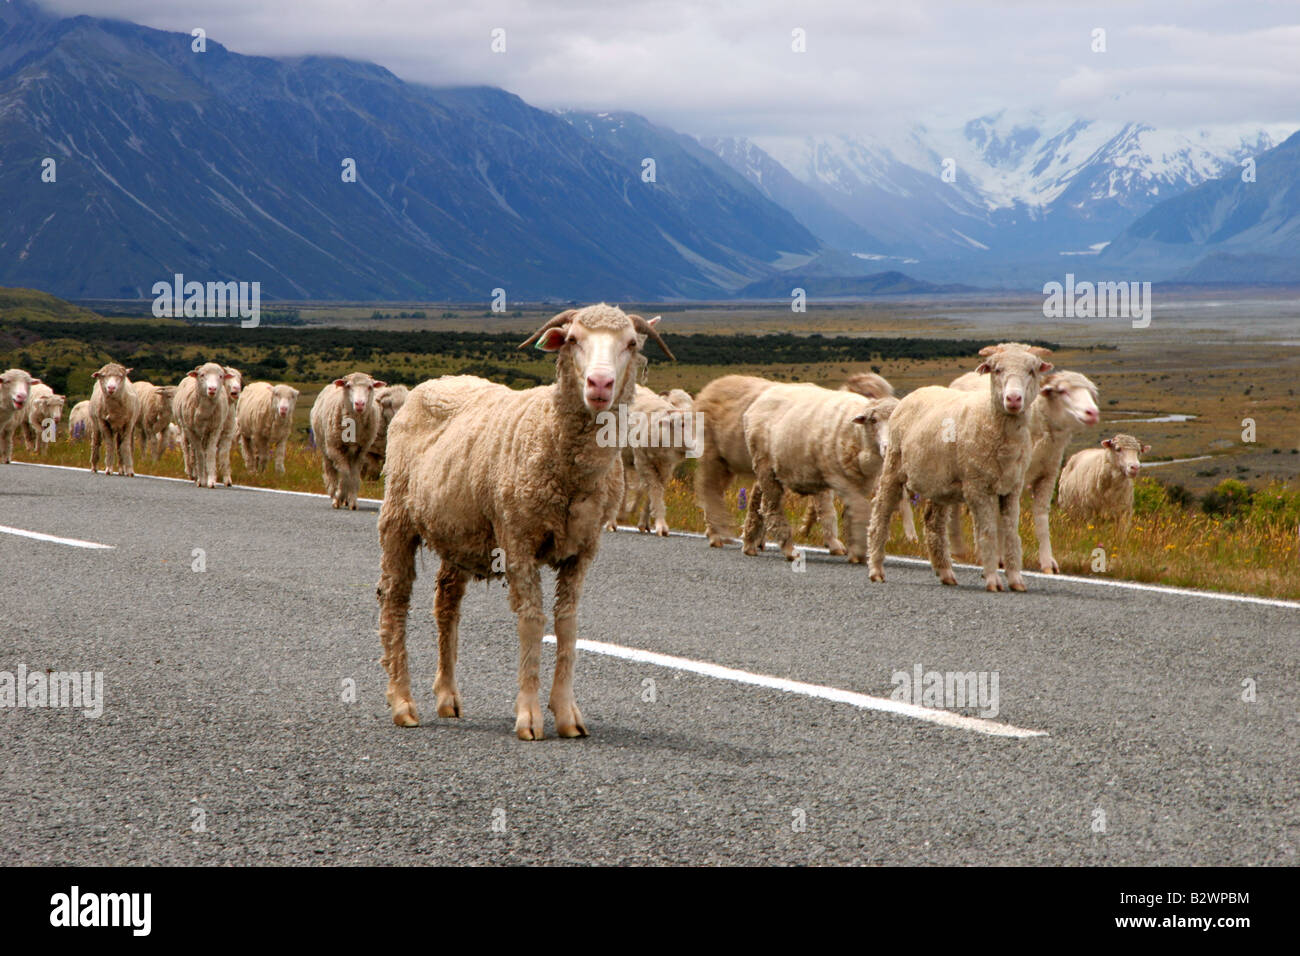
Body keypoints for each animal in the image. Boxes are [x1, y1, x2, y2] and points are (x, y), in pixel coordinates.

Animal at [309, 372, 386, 509]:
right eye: (348, 386)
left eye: (370, 387)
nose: (360, 404)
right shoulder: (334, 448)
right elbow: (345, 474)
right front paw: (339, 497)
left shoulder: (361, 451)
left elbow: (354, 476)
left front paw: (352, 501)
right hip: (325, 447)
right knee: (331, 472)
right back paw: (334, 493)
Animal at [375, 304, 673, 739]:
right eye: (572, 339)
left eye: (631, 344)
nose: (599, 383)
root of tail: (437, 381)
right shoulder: (517, 541)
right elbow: (533, 622)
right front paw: (529, 714)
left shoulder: (583, 549)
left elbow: (566, 625)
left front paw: (566, 712)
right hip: (398, 515)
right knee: (394, 600)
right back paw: (402, 702)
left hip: (459, 531)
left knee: (446, 603)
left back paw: (447, 695)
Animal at [743, 384, 899, 563]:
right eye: (873, 420)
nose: (888, 447)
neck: (858, 436)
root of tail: (760, 399)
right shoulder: (841, 480)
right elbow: (858, 511)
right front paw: (859, 552)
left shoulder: (862, 483)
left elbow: (851, 514)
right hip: (765, 466)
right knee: (770, 507)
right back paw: (788, 549)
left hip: (773, 469)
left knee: (756, 499)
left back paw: (749, 543)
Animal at [867, 343, 1053, 592]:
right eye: (997, 370)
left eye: (1032, 371)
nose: (1013, 399)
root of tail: (915, 393)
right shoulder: (977, 486)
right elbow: (987, 532)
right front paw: (993, 579)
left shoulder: (1012, 487)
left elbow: (1011, 533)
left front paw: (1015, 579)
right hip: (894, 465)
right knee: (881, 512)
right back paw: (876, 569)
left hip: (938, 482)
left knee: (933, 523)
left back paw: (946, 572)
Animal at [946, 363, 1100, 572]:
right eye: (1062, 391)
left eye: (1090, 392)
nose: (1092, 413)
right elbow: (1002, 518)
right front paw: (1001, 557)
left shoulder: (1047, 475)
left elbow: (1041, 519)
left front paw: (1047, 563)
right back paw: (959, 550)